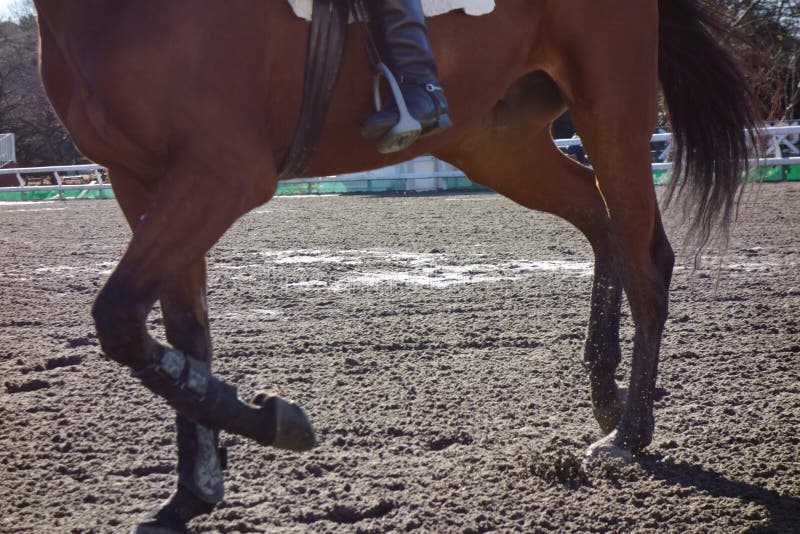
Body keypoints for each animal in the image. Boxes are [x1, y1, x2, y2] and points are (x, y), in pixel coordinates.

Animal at [33, 0, 758, 530]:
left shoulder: (222, 171)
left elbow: (119, 318)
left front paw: (276, 423)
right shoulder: (140, 179)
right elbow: (181, 333)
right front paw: (194, 490)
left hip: (610, 105)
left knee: (646, 258)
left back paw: (628, 435)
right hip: (497, 138)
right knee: (599, 220)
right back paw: (605, 392)